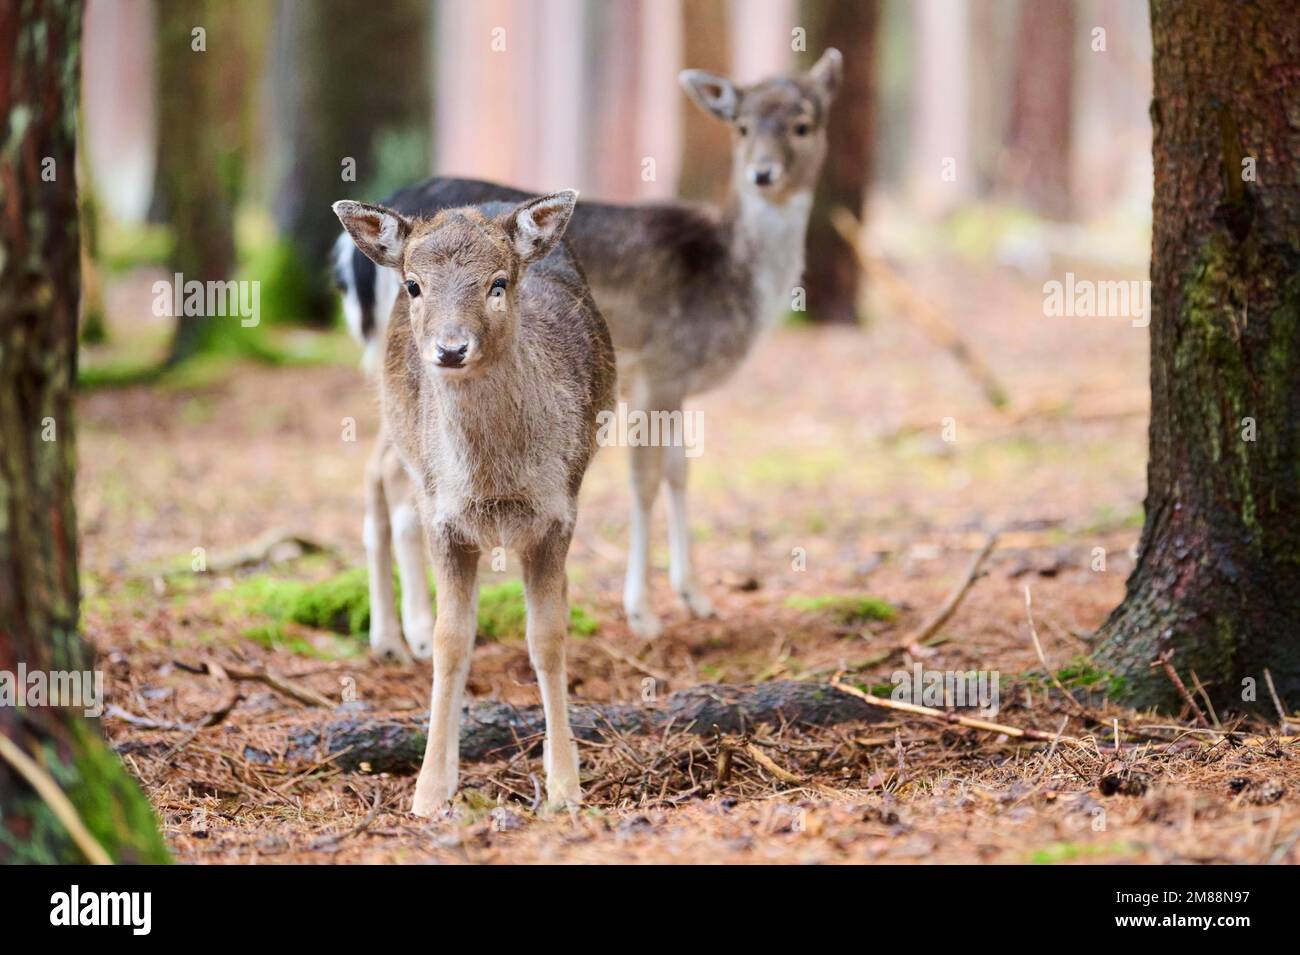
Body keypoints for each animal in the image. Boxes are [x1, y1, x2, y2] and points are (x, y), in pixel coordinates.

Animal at [333, 191, 616, 814]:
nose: (450, 348)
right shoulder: (447, 522)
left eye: (498, 283)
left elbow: (547, 638)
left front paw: (565, 786)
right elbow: (452, 641)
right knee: (379, 474)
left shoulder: (557, 514)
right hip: (401, 430)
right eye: (414, 284)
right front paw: (430, 792)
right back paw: (390, 638)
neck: (494, 485)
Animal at [335, 48, 842, 645]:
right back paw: (412, 629)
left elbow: (680, 470)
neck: (734, 281)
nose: (763, 174)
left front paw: (697, 599)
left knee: (379, 473)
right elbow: (645, 478)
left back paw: (389, 636)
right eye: (741, 126)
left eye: (803, 125)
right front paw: (643, 612)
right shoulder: (661, 366)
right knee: (393, 475)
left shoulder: (672, 382)